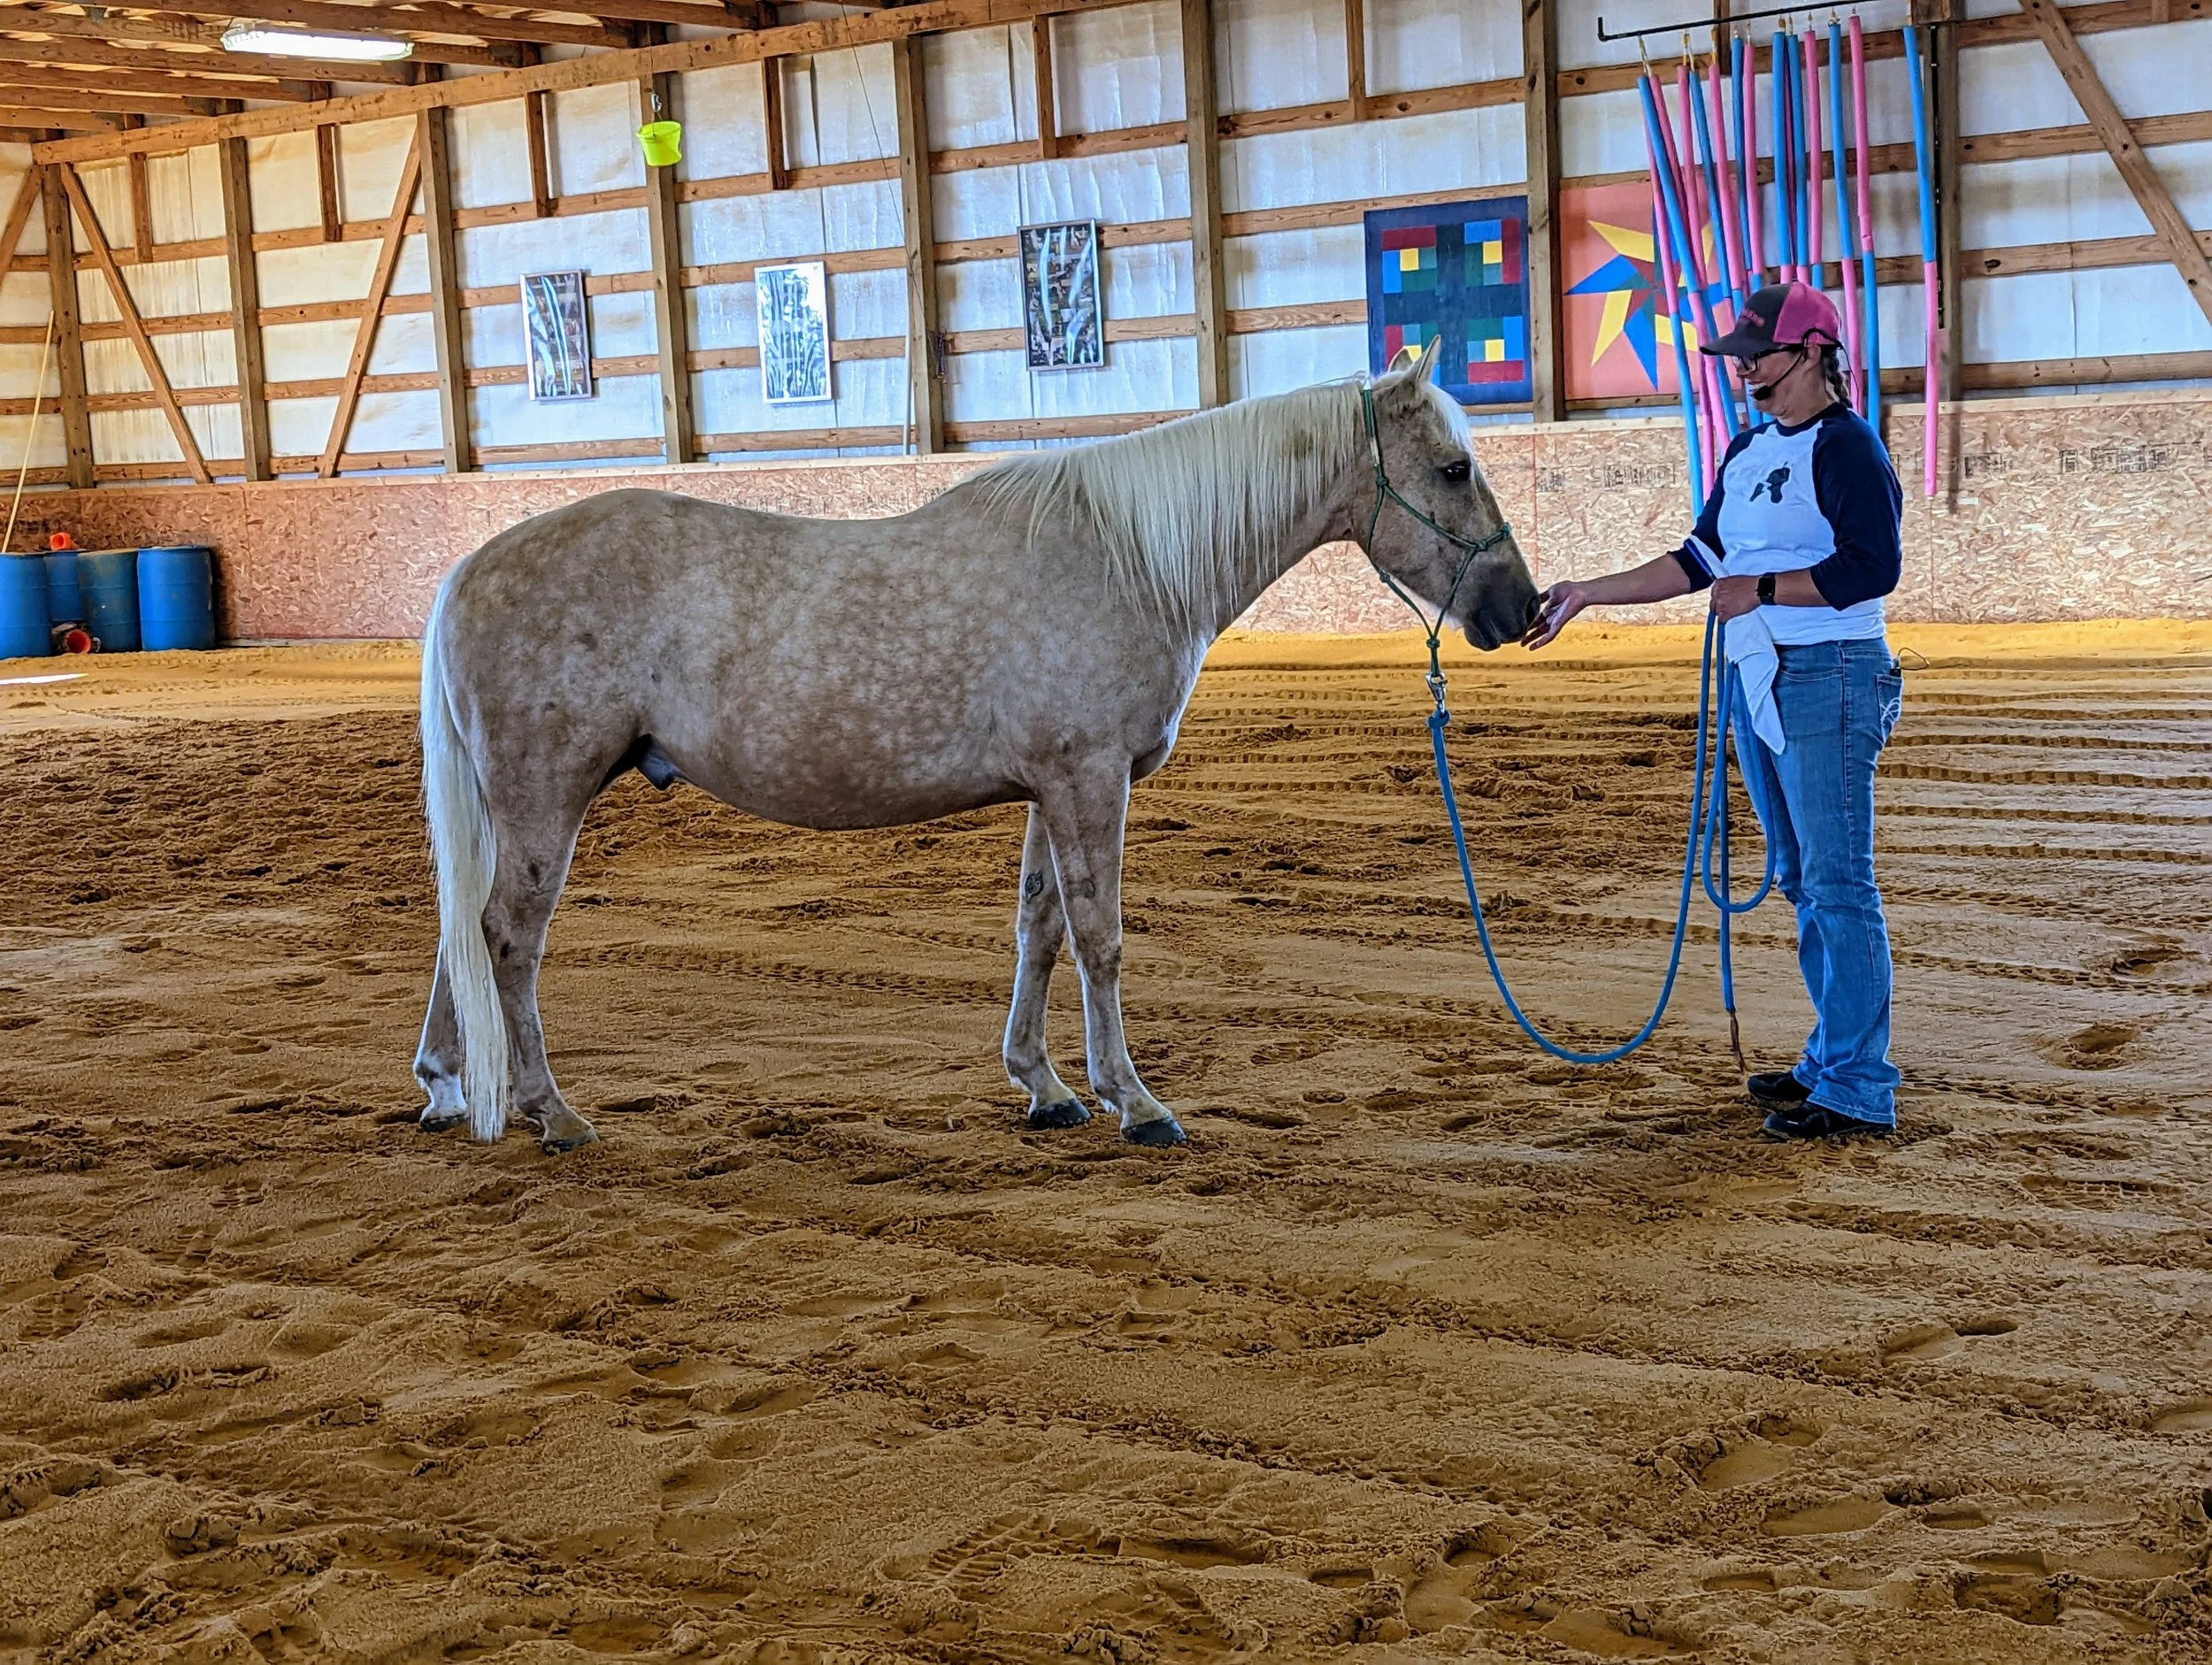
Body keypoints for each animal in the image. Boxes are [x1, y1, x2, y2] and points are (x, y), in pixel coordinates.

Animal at [414, 338, 1538, 1154]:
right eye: (1452, 468)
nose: (1517, 610)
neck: (1128, 557)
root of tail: (470, 567)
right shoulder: (1088, 778)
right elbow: (1099, 938)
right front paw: (1137, 1102)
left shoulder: (1053, 784)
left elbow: (1038, 929)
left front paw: (1045, 1088)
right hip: (546, 796)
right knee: (507, 937)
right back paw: (551, 1112)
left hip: (519, 804)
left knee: (463, 931)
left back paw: (444, 1087)